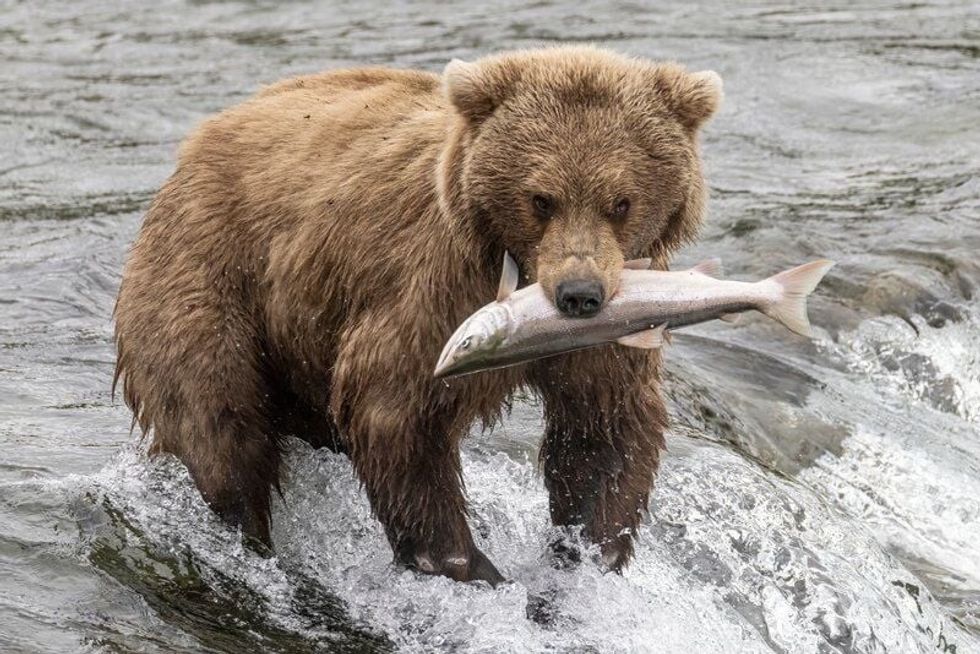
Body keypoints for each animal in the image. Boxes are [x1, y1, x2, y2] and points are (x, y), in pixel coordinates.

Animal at [113, 46, 721, 586]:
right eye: (540, 198)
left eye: (620, 202)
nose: (579, 295)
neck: (517, 266)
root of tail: (199, 140)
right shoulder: (435, 286)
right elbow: (394, 405)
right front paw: (468, 563)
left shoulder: (620, 315)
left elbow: (603, 424)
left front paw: (587, 551)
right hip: (212, 274)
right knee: (218, 418)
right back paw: (249, 537)